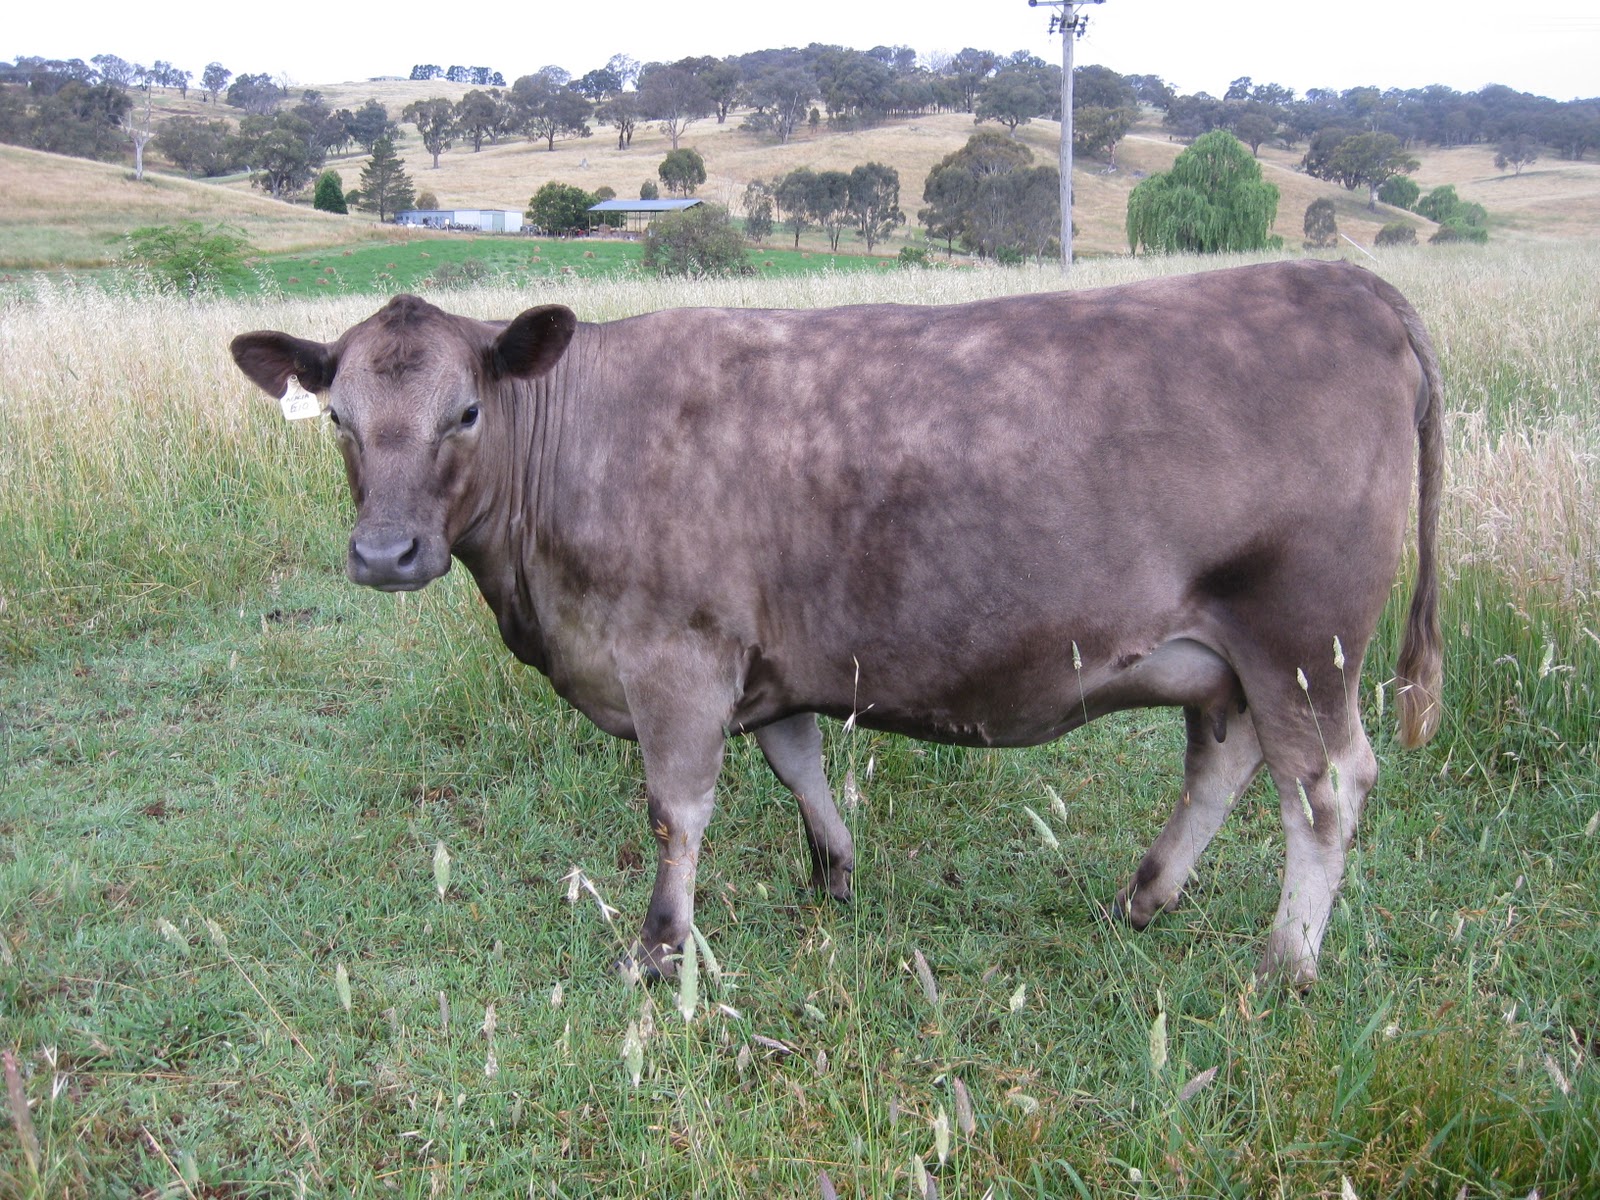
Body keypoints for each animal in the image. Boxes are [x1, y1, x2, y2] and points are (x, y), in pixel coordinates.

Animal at [231, 259, 1443, 988]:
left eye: (468, 410)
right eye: (337, 419)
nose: (385, 554)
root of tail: (1340, 278)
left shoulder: (677, 656)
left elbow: (678, 811)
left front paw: (658, 951)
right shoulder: (768, 656)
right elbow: (798, 762)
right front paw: (834, 875)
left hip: (1302, 639)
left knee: (1326, 789)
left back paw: (1283, 965)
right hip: (1226, 654)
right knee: (1223, 763)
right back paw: (1142, 899)